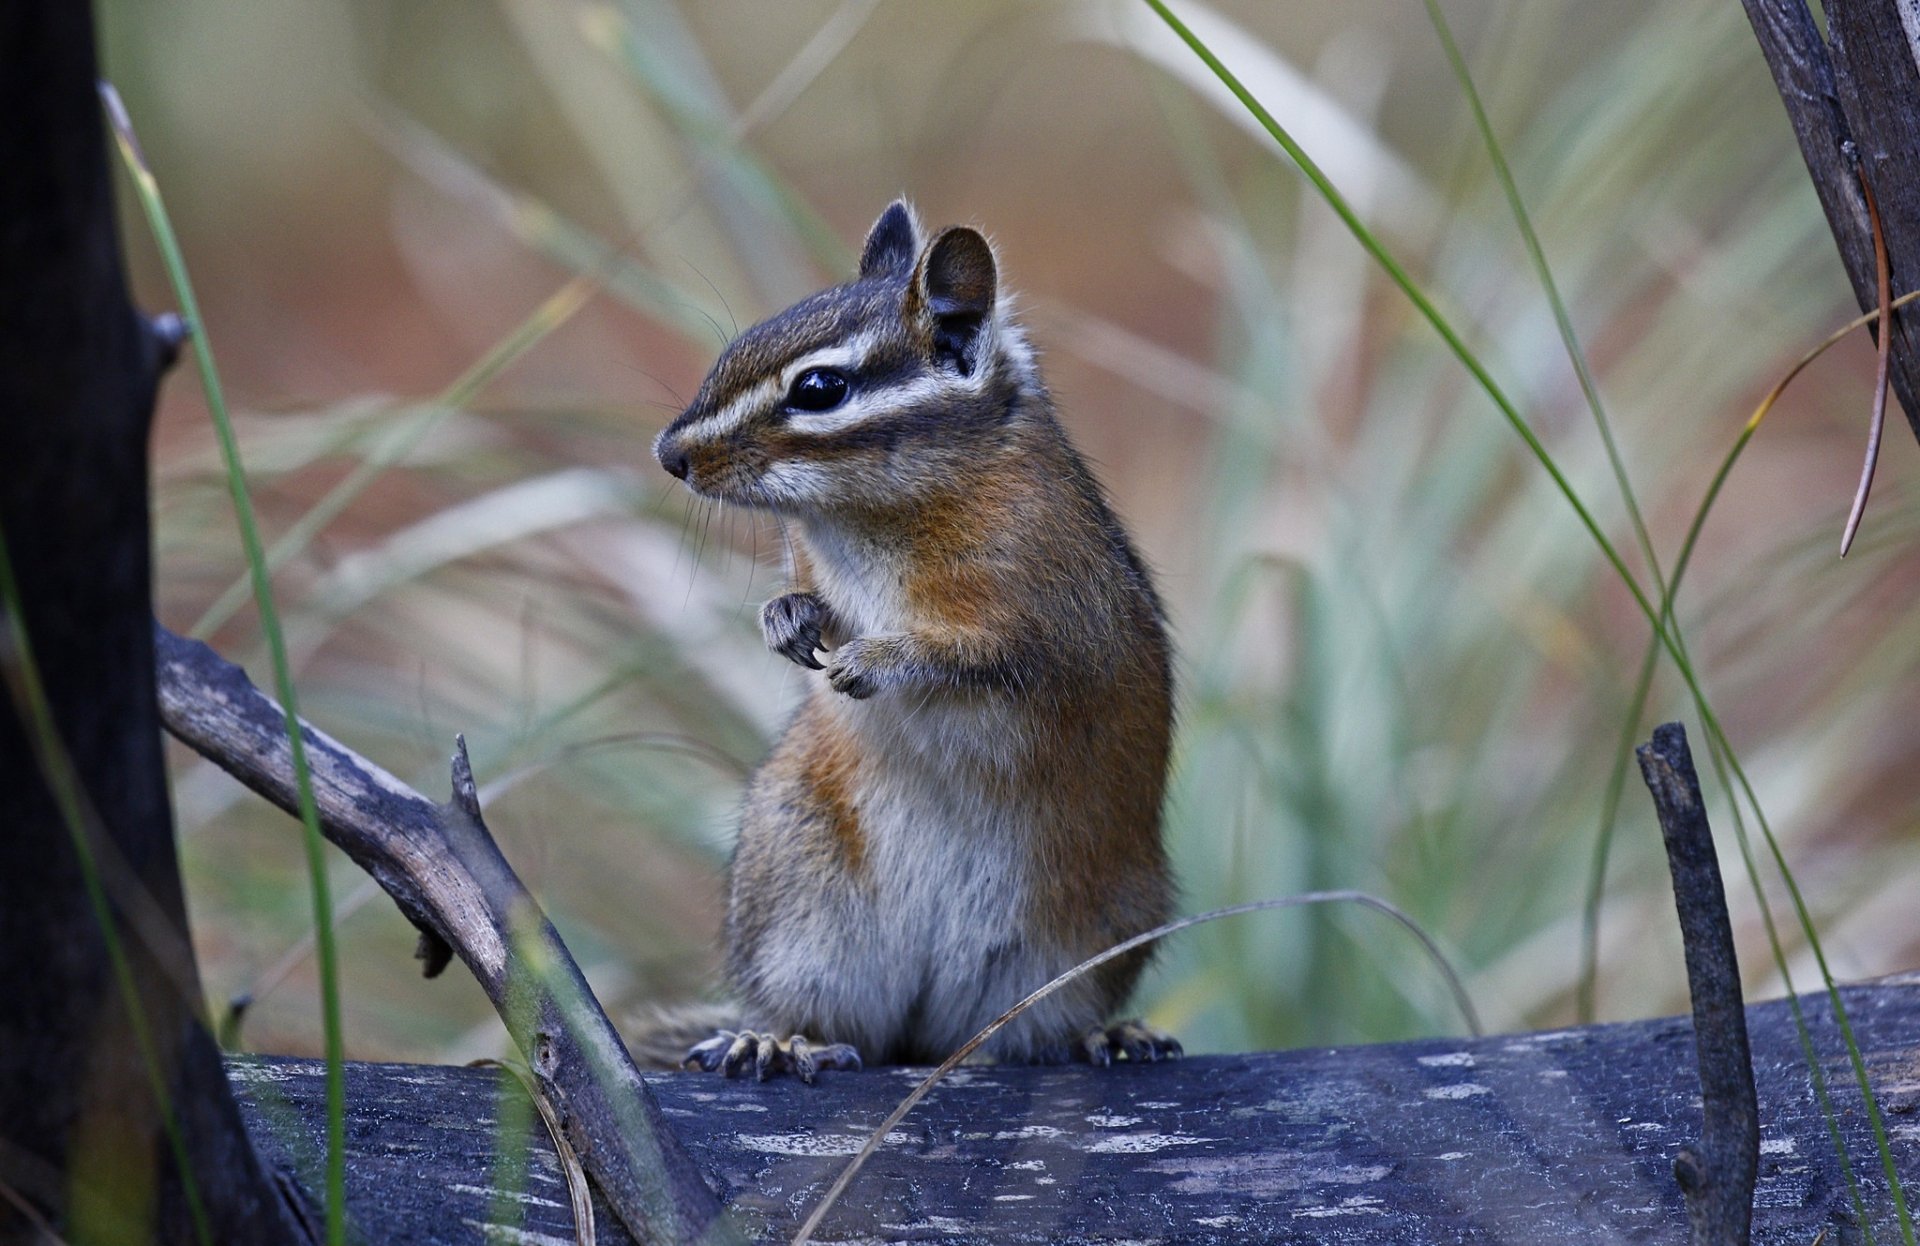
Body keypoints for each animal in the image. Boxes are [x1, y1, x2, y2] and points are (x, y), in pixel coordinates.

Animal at [648, 201, 1177, 1082]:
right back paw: (776, 1038)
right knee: (825, 1019)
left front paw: (878, 658)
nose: (669, 454)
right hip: (796, 902)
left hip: (1086, 936)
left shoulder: (1049, 619)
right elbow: (802, 597)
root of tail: (925, 1032)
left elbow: (974, 655)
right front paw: (786, 620)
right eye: (737, 344)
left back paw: (1102, 1036)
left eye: (819, 388)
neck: (864, 522)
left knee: (1033, 1032)